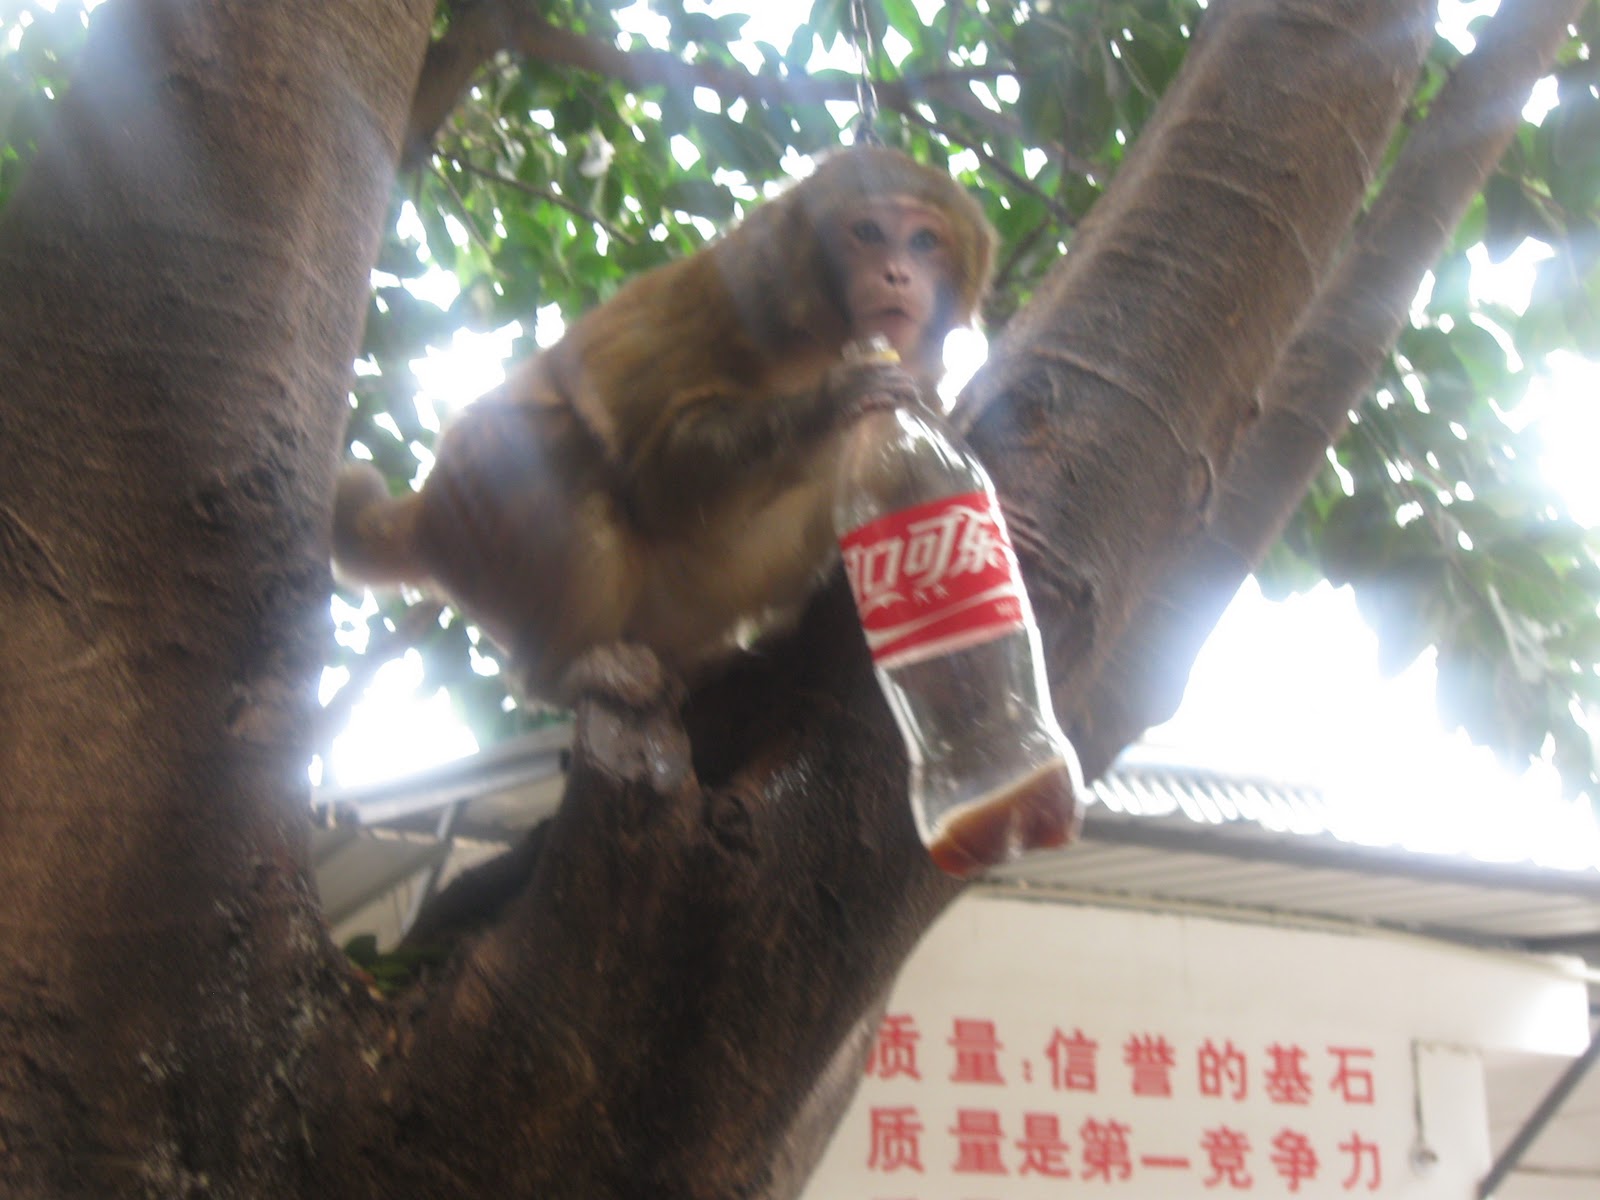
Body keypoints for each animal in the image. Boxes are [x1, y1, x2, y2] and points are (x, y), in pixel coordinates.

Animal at [332, 145, 996, 702]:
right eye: (868, 232)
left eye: (925, 241)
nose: (897, 273)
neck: (825, 333)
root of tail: (425, 512)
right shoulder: (743, 297)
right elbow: (656, 488)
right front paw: (832, 400)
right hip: (474, 508)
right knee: (568, 465)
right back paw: (563, 672)